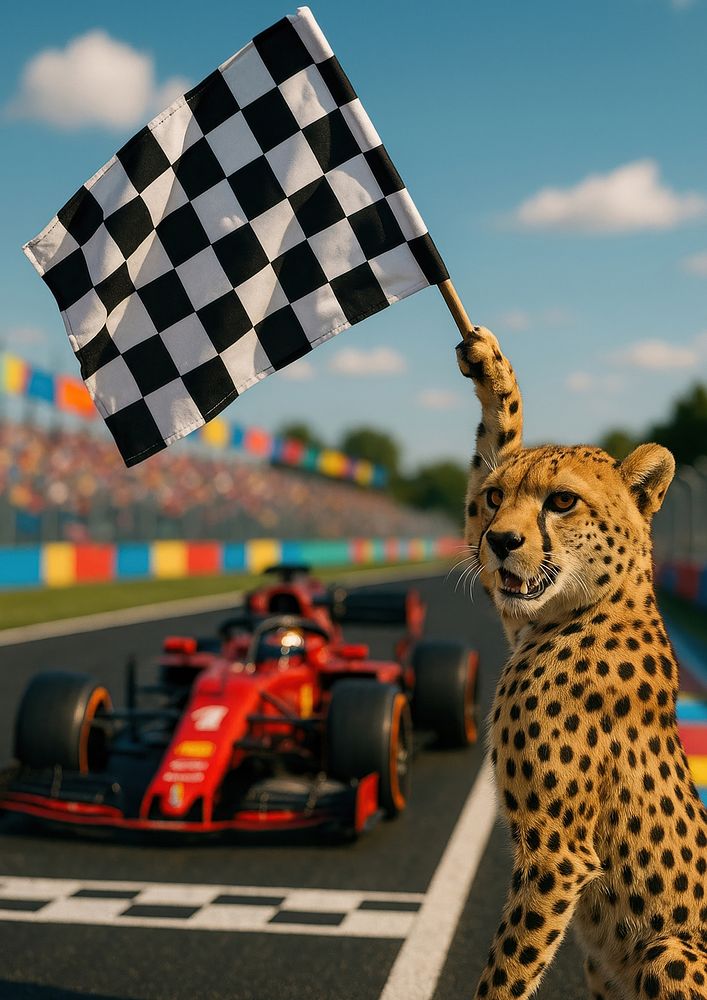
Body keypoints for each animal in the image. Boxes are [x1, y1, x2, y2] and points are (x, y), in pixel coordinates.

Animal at [455, 324, 707, 1000]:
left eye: (563, 501)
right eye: (497, 499)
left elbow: (508, 971)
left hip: (667, 950)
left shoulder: (557, 853)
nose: (500, 541)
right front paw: (490, 370)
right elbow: (489, 455)